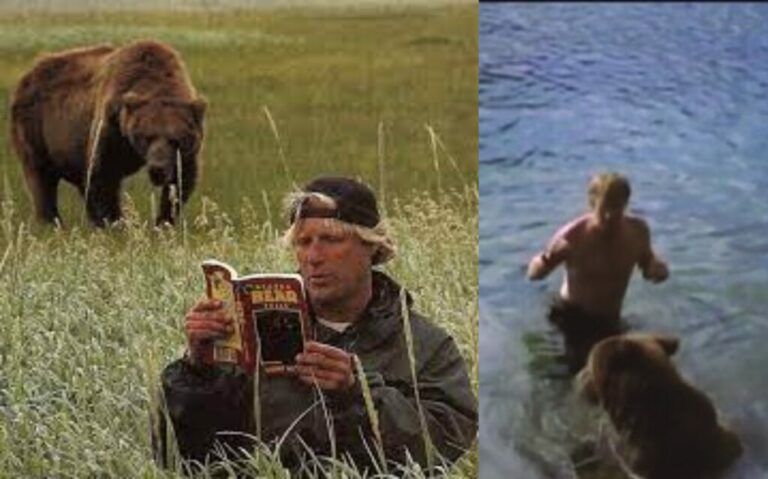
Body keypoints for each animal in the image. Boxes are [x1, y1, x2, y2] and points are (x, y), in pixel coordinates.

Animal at [10, 40, 206, 226]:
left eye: (176, 139)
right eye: (146, 137)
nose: (157, 169)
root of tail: (28, 74)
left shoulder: (186, 151)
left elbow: (181, 180)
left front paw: (164, 222)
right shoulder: (111, 125)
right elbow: (103, 176)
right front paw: (116, 223)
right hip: (36, 128)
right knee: (41, 180)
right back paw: (51, 222)